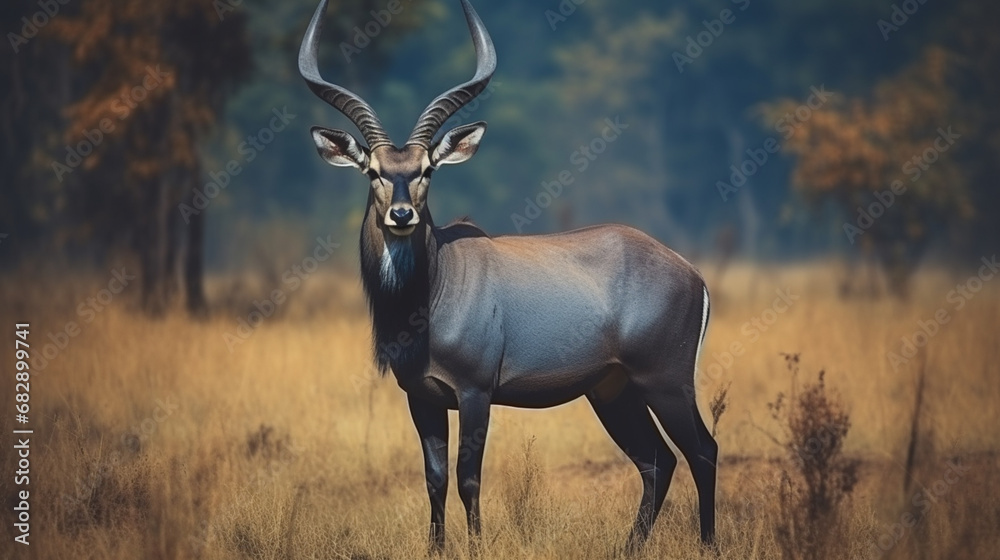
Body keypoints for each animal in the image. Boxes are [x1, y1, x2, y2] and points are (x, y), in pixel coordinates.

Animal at [299, 0, 717, 553]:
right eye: (374, 171)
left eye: (427, 168)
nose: (402, 215)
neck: (433, 291)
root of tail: (690, 273)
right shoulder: (422, 397)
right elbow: (434, 477)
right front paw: (435, 549)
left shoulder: (475, 394)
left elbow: (468, 477)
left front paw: (476, 548)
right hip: (613, 391)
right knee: (657, 460)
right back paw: (629, 547)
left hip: (666, 383)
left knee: (701, 451)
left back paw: (709, 544)